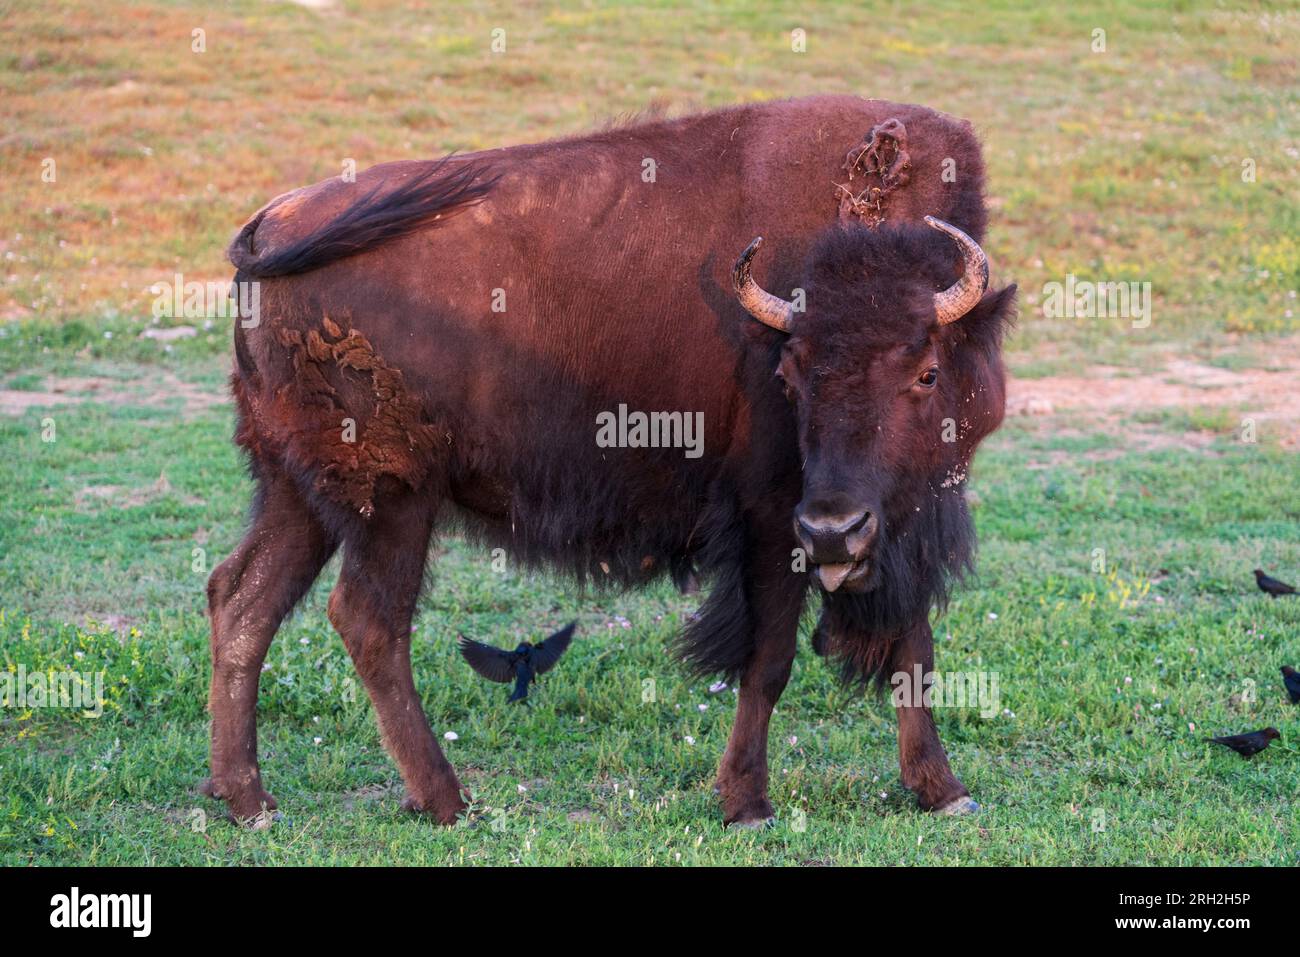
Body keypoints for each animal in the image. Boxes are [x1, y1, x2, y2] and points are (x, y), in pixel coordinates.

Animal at [203, 95, 1014, 827]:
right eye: (791, 373)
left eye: (926, 372)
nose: (834, 532)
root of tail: (272, 223)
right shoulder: (772, 519)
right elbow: (770, 659)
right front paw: (747, 804)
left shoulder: (891, 525)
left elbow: (914, 645)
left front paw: (943, 790)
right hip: (393, 499)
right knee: (369, 621)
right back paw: (446, 801)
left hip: (298, 493)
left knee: (242, 599)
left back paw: (248, 801)